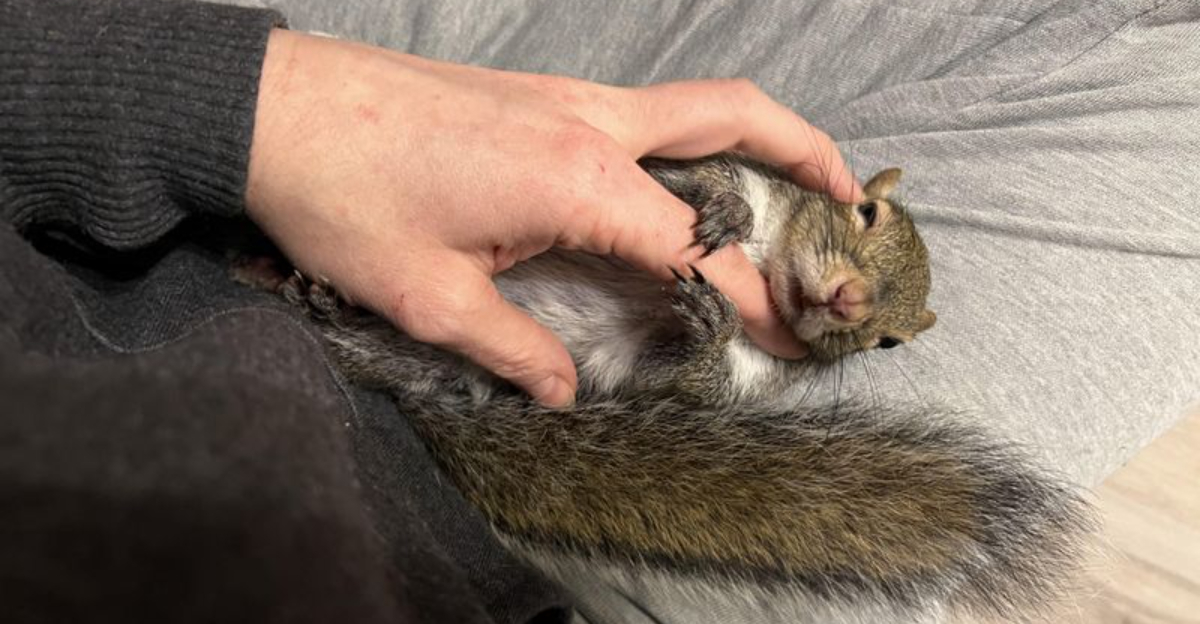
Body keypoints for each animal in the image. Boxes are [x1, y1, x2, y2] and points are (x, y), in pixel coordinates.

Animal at [234, 154, 1093, 622]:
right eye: (866, 208)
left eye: (888, 343)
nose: (850, 303)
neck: (767, 272)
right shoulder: (667, 172)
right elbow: (695, 178)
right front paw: (726, 210)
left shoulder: (690, 375)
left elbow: (685, 382)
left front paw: (707, 331)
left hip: (452, 359)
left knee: (389, 364)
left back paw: (333, 323)